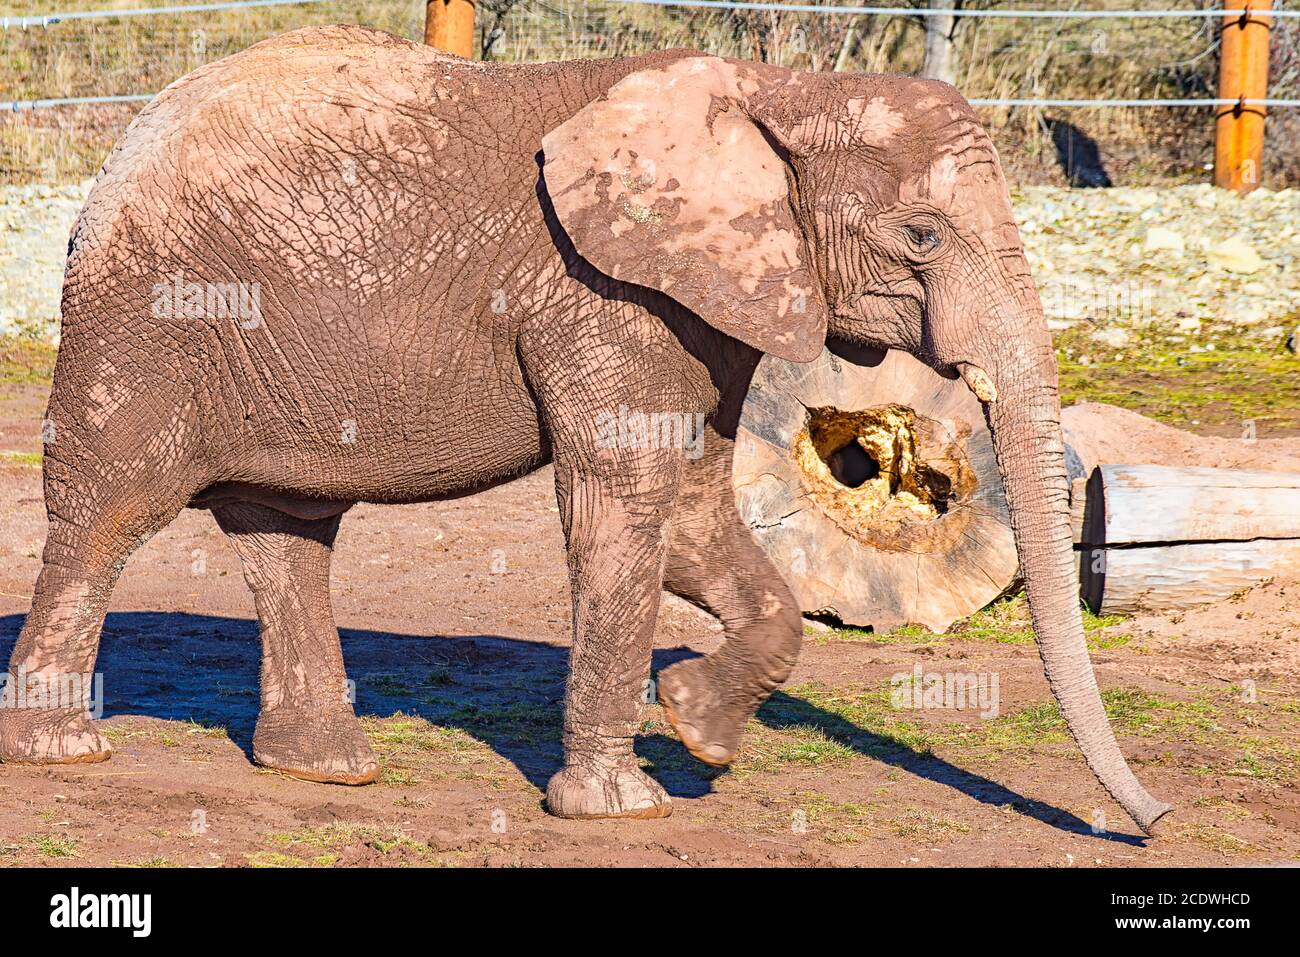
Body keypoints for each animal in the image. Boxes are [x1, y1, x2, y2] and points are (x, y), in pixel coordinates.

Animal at [0, 24, 1170, 832]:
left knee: (287, 530)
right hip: (149, 312)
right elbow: (625, 499)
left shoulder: (706, 300)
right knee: (113, 509)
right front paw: (622, 805)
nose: (1152, 823)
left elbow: (693, 508)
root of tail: (120, 148)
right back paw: (61, 751)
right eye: (919, 236)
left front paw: (697, 722)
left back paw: (326, 765)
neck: (774, 93)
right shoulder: (603, 292)